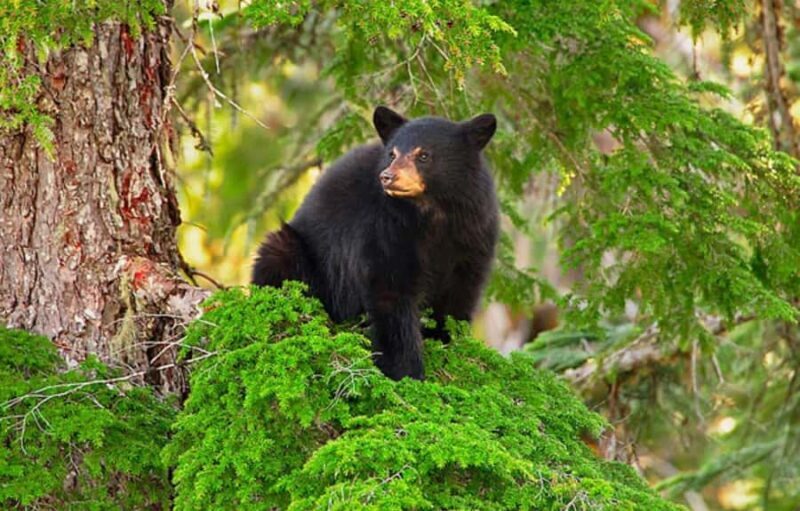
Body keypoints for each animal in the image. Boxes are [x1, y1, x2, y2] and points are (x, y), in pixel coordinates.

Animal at [252, 106, 499, 380]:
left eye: (424, 155)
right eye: (392, 153)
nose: (387, 176)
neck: (432, 214)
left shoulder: (473, 236)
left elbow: (459, 294)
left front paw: (446, 343)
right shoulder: (384, 229)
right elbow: (390, 292)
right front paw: (406, 371)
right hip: (297, 254)